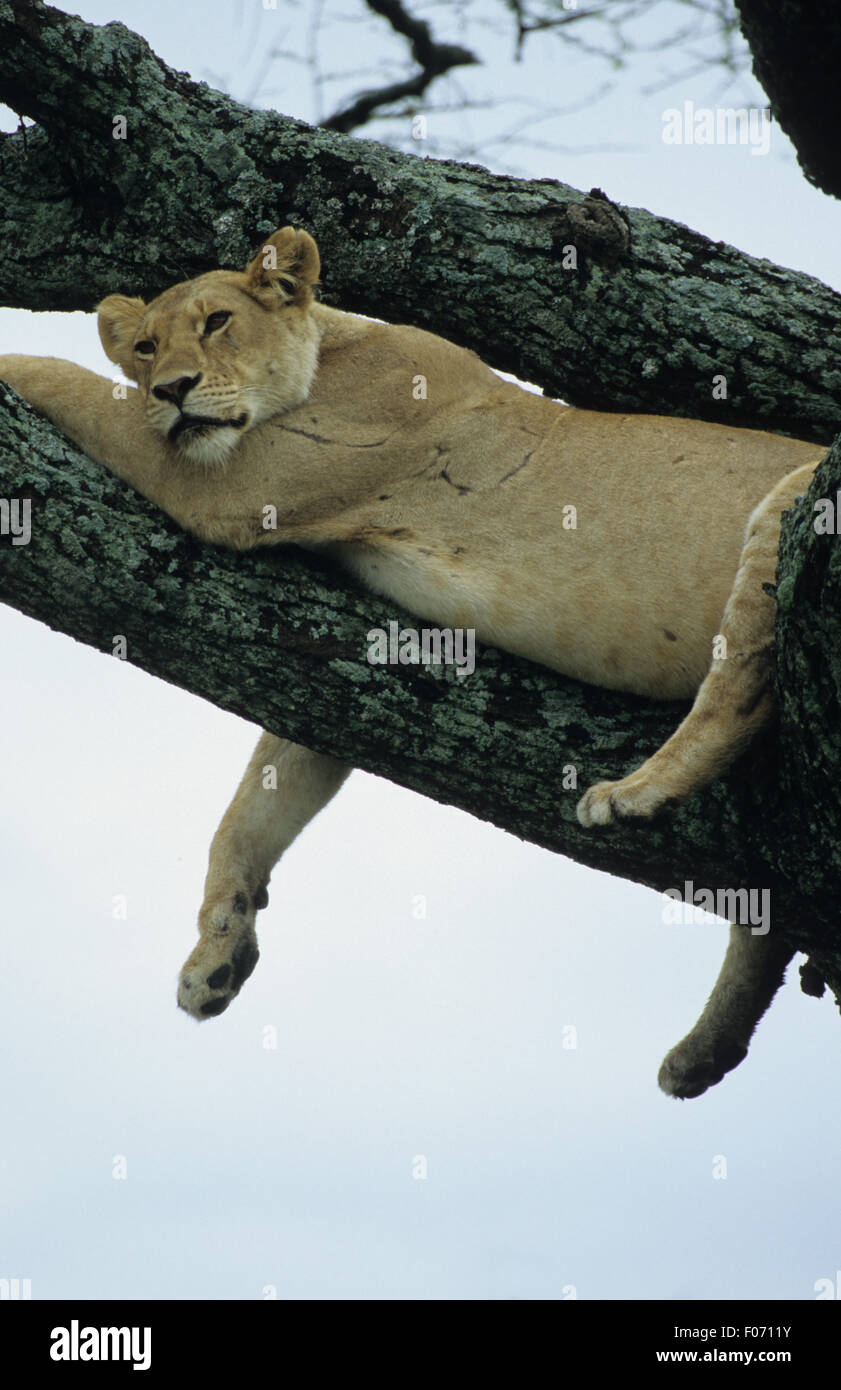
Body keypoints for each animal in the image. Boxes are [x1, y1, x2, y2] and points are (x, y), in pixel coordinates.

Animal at [0, 226, 822, 1098]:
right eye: (147, 346)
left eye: (217, 322)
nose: (172, 389)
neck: (331, 347)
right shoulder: (325, 663)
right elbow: (254, 803)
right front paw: (215, 954)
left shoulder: (245, 480)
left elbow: (96, 396)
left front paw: (12, 365)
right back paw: (701, 1052)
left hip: (794, 496)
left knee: (740, 690)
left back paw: (633, 796)